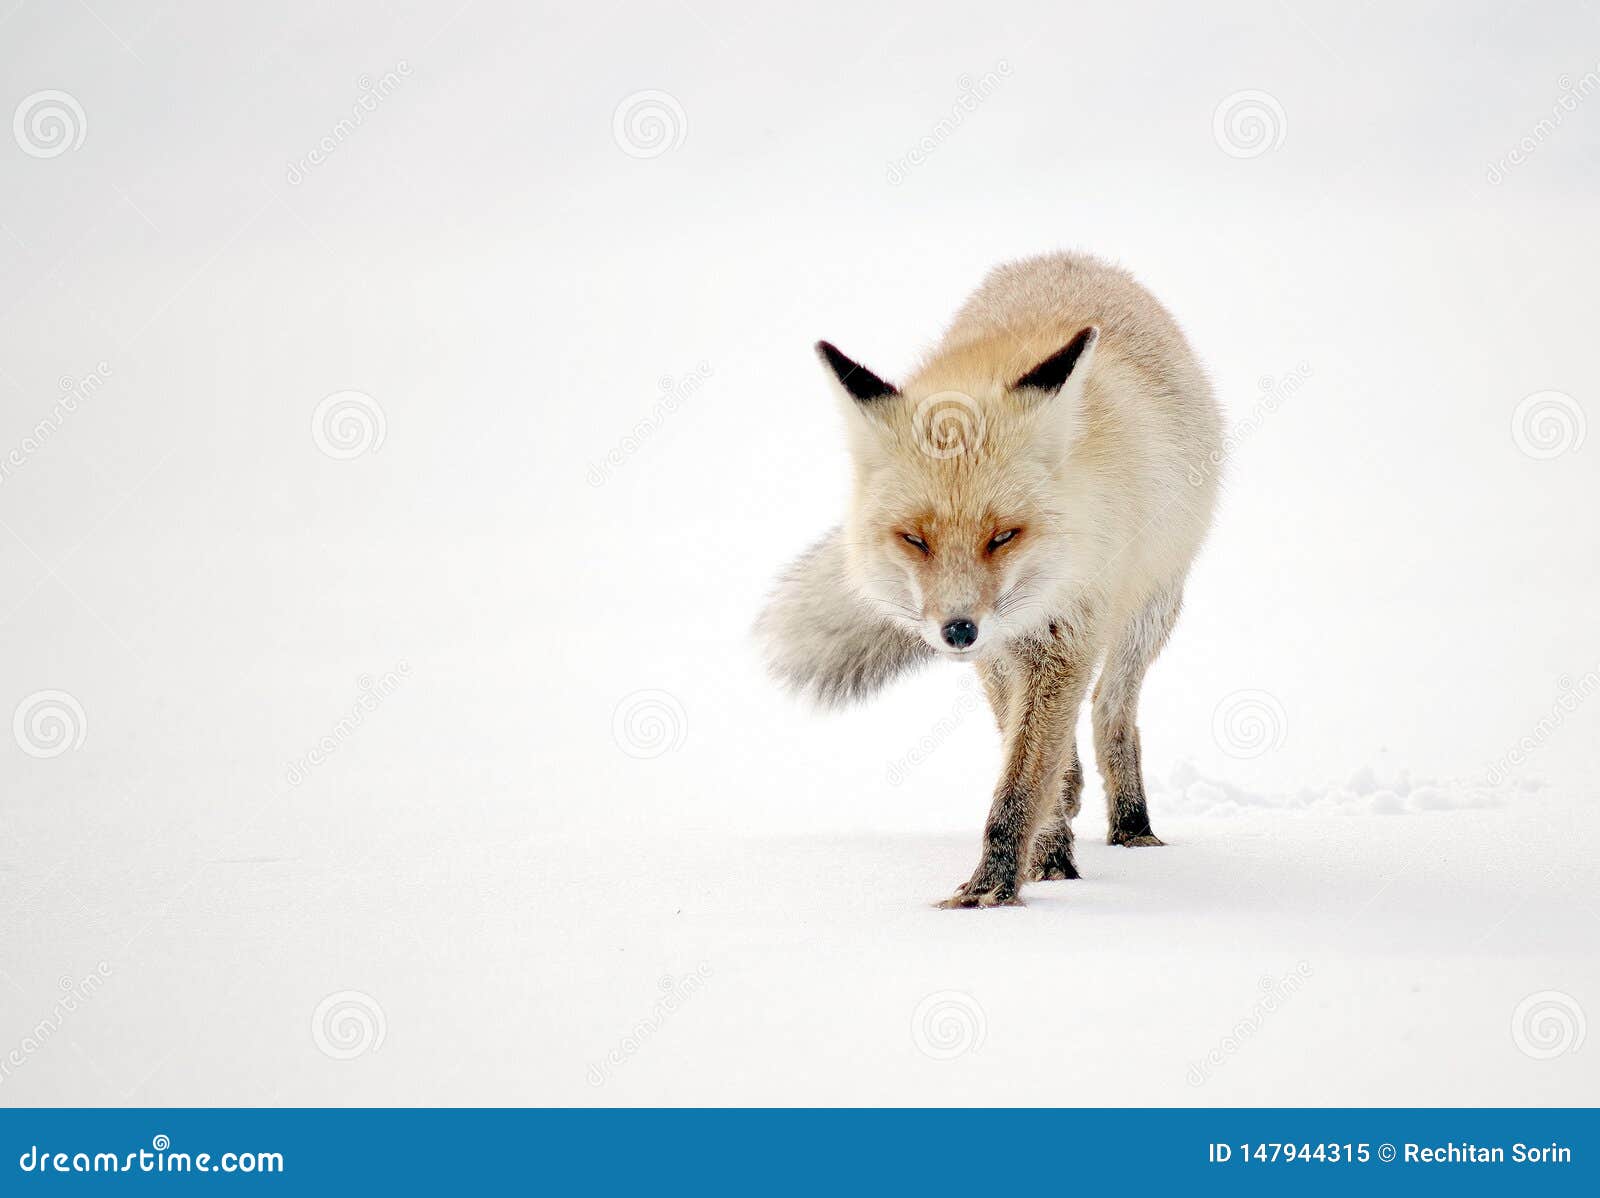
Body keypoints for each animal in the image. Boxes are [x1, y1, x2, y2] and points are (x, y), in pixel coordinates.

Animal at [758, 251, 1222, 908]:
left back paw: (1133, 828)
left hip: (1148, 610)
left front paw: (990, 893)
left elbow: (1019, 785)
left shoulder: (1065, 637)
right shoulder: (1001, 651)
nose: (957, 630)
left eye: (1002, 536)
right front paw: (1046, 857)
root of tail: (1066, 256)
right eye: (915, 539)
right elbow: (1027, 764)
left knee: (1111, 711)